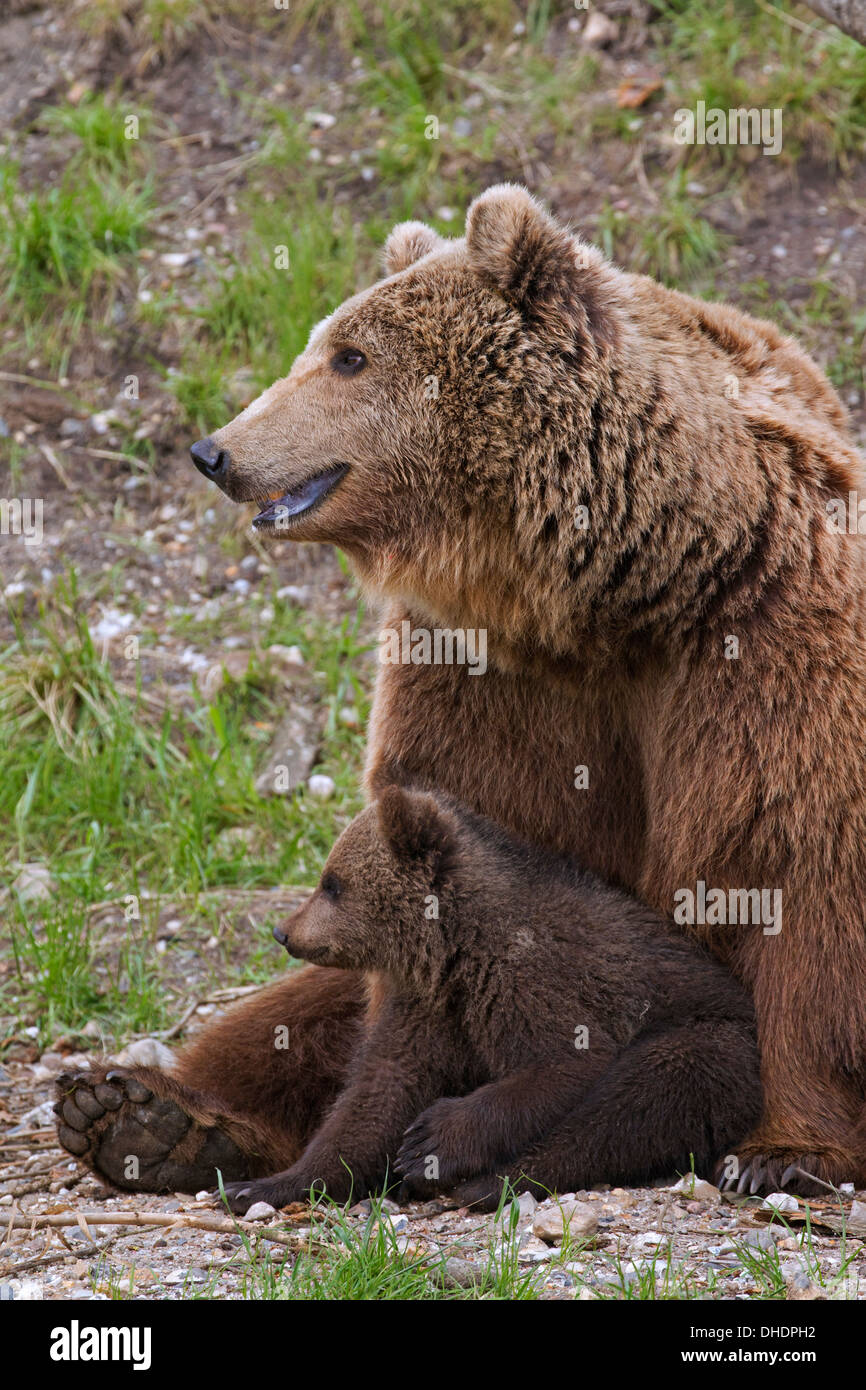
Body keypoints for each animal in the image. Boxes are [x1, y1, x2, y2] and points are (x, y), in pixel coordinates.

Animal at [218, 786, 762, 1215]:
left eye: (332, 883)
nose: (283, 931)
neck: (455, 945)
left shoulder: (532, 977)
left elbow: (559, 1067)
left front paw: (431, 1141)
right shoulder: (428, 1005)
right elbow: (375, 1094)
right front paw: (261, 1185)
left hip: (716, 1034)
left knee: (639, 1099)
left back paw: (487, 1183)